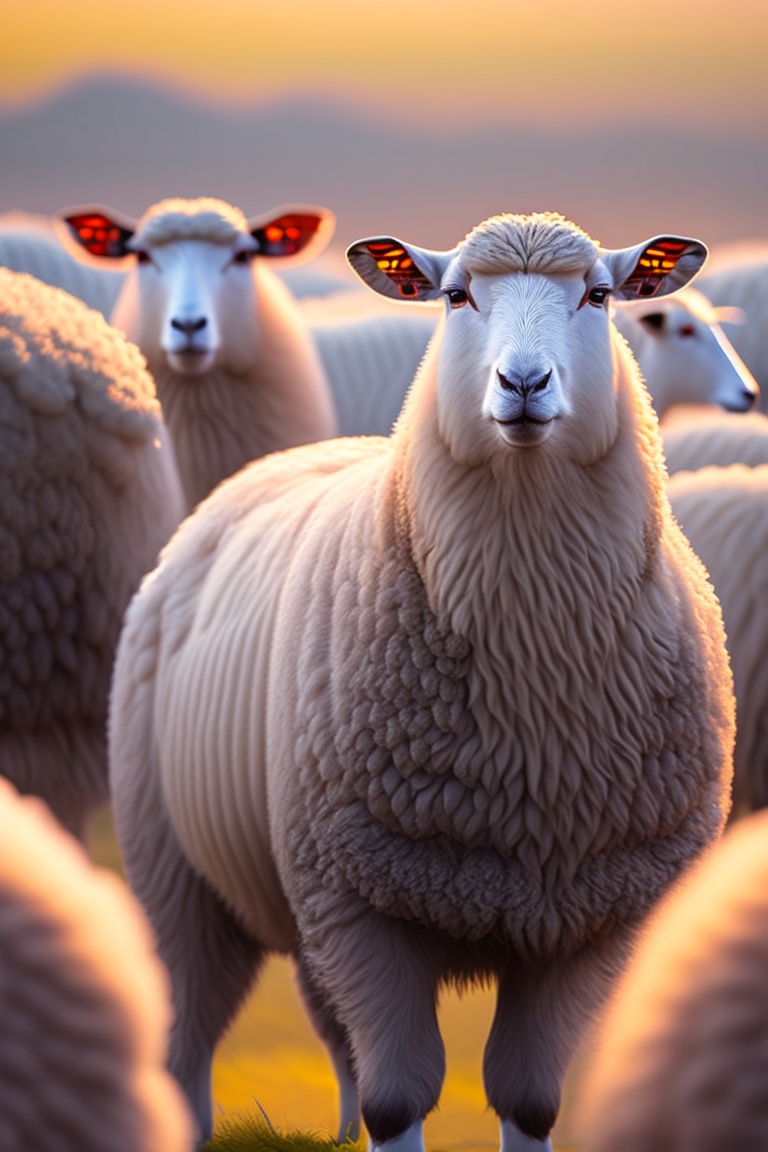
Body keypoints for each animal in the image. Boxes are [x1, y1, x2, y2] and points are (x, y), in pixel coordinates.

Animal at [108, 212, 734, 1152]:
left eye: (598, 295)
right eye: (454, 297)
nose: (523, 383)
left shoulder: (591, 918)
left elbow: (528, 1099)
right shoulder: (361, 901)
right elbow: (398, 1099)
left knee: (327, 1028)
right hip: (178, 870)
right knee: (185, 1034)